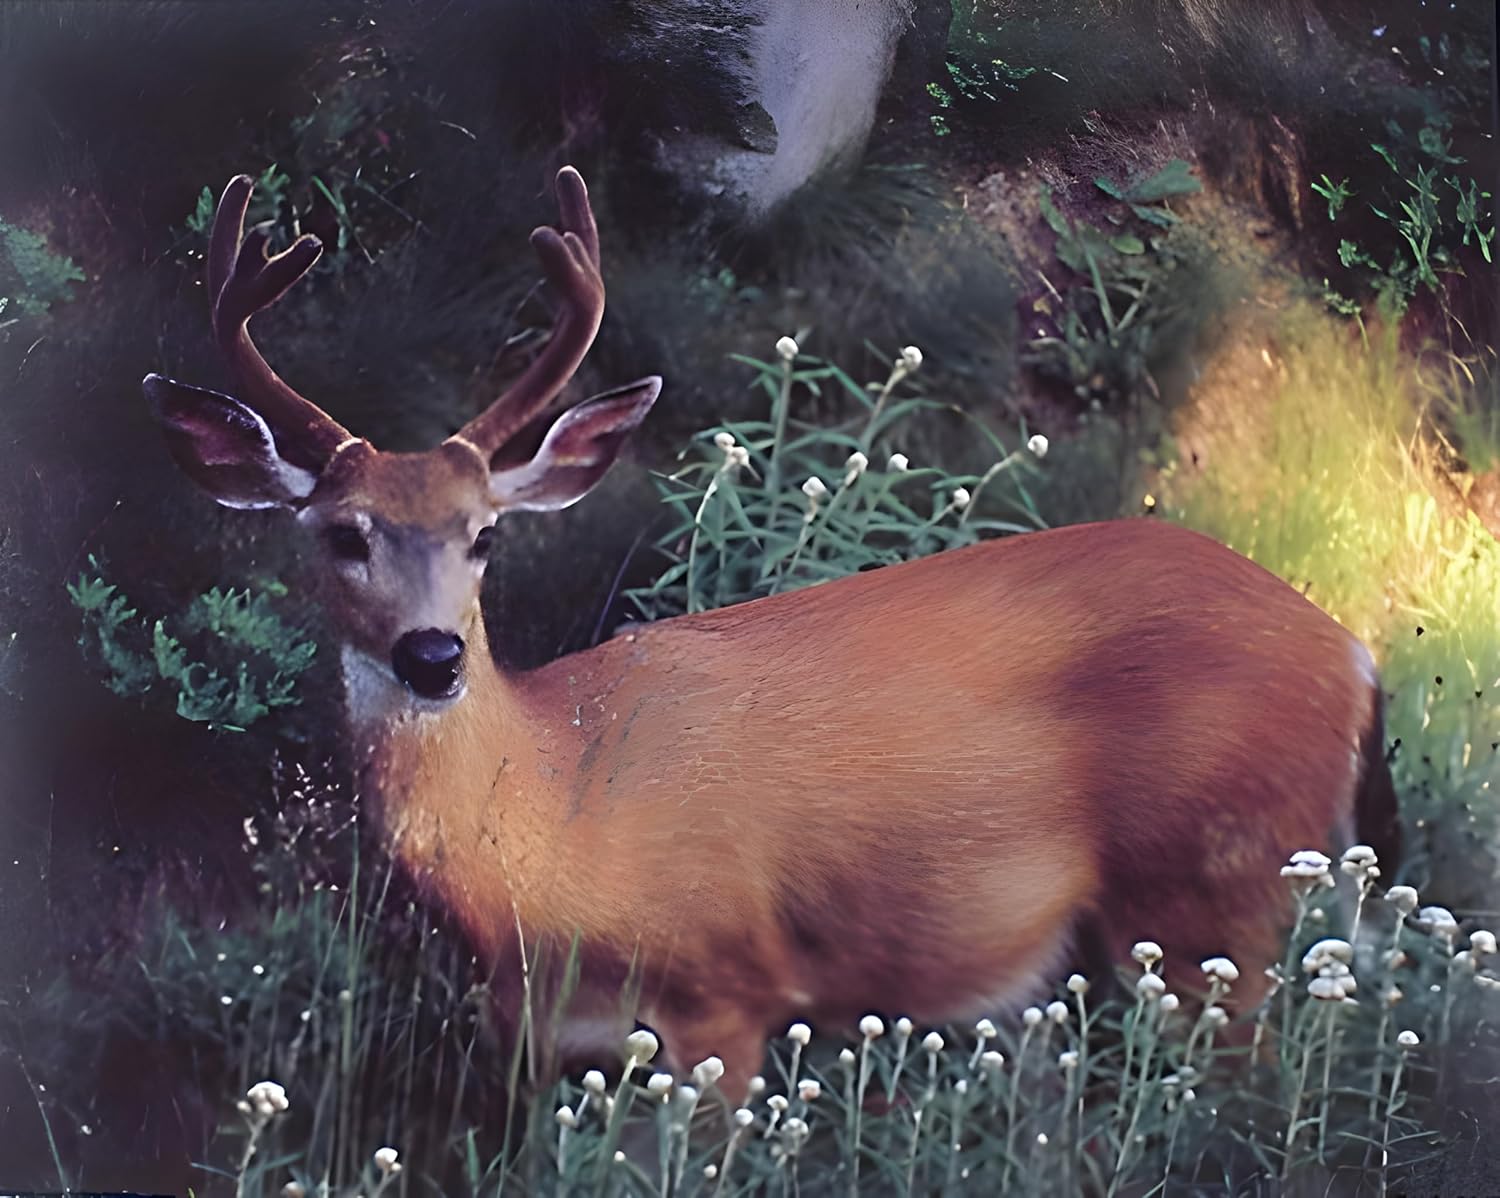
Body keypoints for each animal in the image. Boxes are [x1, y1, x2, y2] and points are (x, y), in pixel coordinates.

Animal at [143, 165, 1402, 1105]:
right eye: (342, 533)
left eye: (486, 534)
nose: (432, 655)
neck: (554, 831)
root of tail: (1351, 652)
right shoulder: (547, 1049)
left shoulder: (725, 1000)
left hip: (1209, 899)